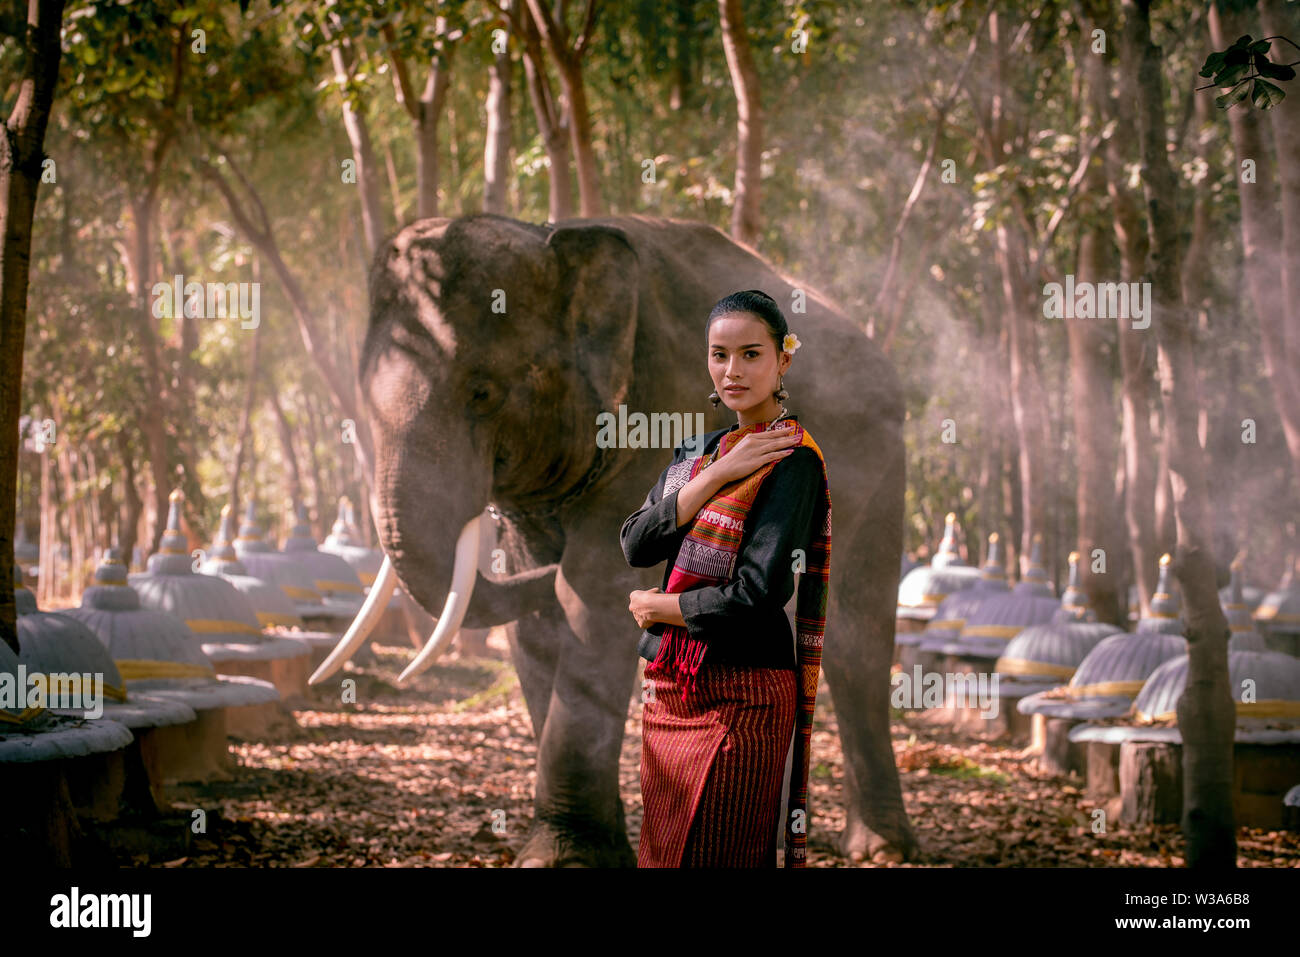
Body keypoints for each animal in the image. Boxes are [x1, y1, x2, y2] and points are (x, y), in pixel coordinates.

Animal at [316, 212, 917, 866]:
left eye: (482, 392)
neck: (552, 238)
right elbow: (542, 621)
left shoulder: (654, 411)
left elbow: (592, 595)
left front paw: (563, 859)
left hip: (886, 467)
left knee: (857, 642)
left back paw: (882, 849)